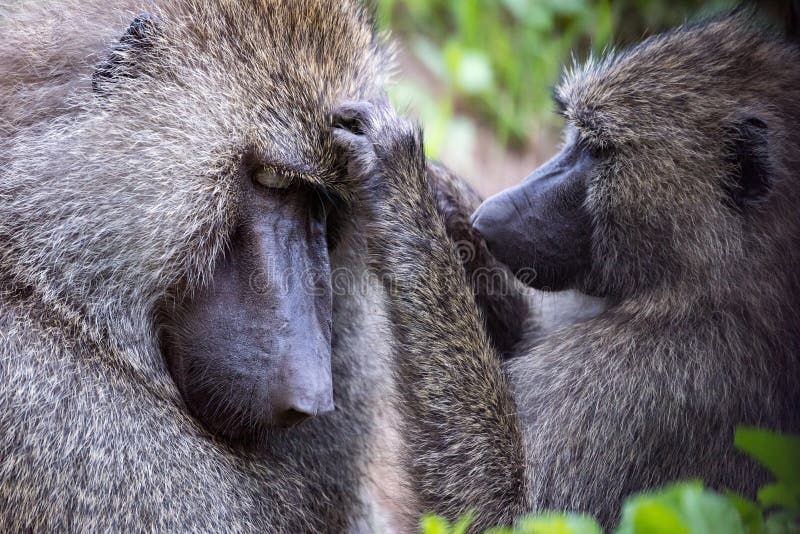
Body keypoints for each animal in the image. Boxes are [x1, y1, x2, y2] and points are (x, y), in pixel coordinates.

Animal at [332, 10, 800, 531]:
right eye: (574, 136)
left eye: (597, 149)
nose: (491, 216)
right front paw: (439, 193)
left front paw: (398, 182)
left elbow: (505, 513)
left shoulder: (664, 377)